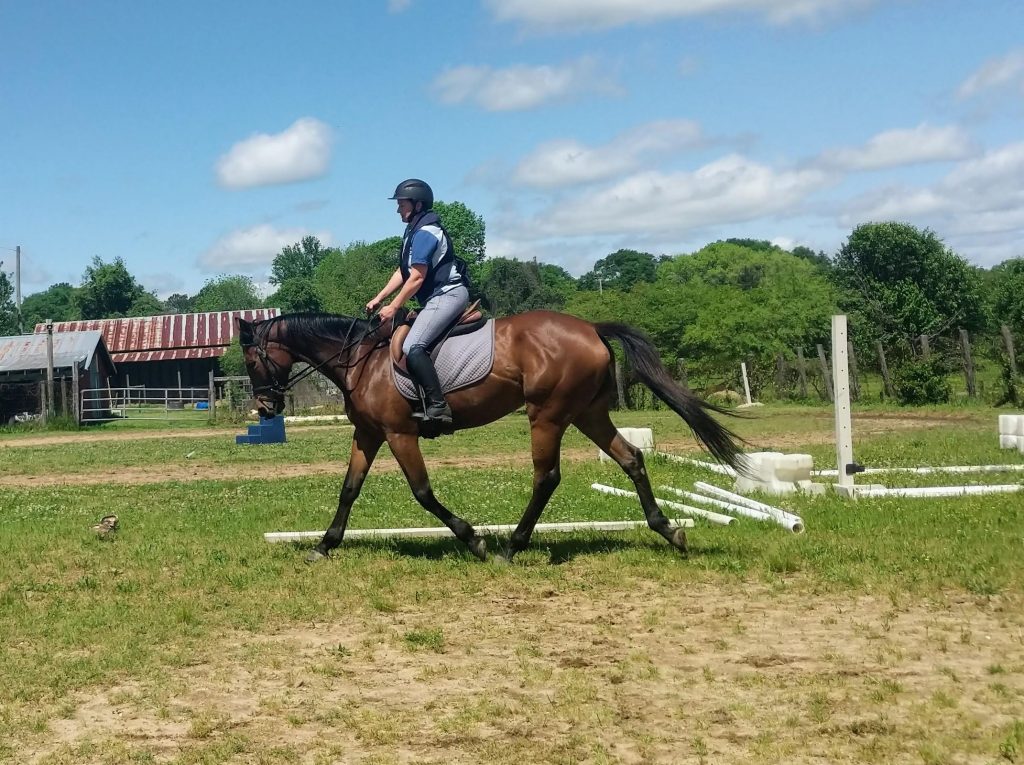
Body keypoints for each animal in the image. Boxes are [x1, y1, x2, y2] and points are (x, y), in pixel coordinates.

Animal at [238, 310, 745, 563]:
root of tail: (591, 328)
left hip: (547, 415)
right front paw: (324, 545)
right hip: (587, 413)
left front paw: (473, 539)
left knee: (547, 477)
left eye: (250, 358)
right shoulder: (369, 433)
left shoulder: (400, 433)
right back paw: (669, 531)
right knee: (632, 457)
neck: (362, 359)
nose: (266, 408)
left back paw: (509, 547)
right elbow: (348, 489)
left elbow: (422, 492)